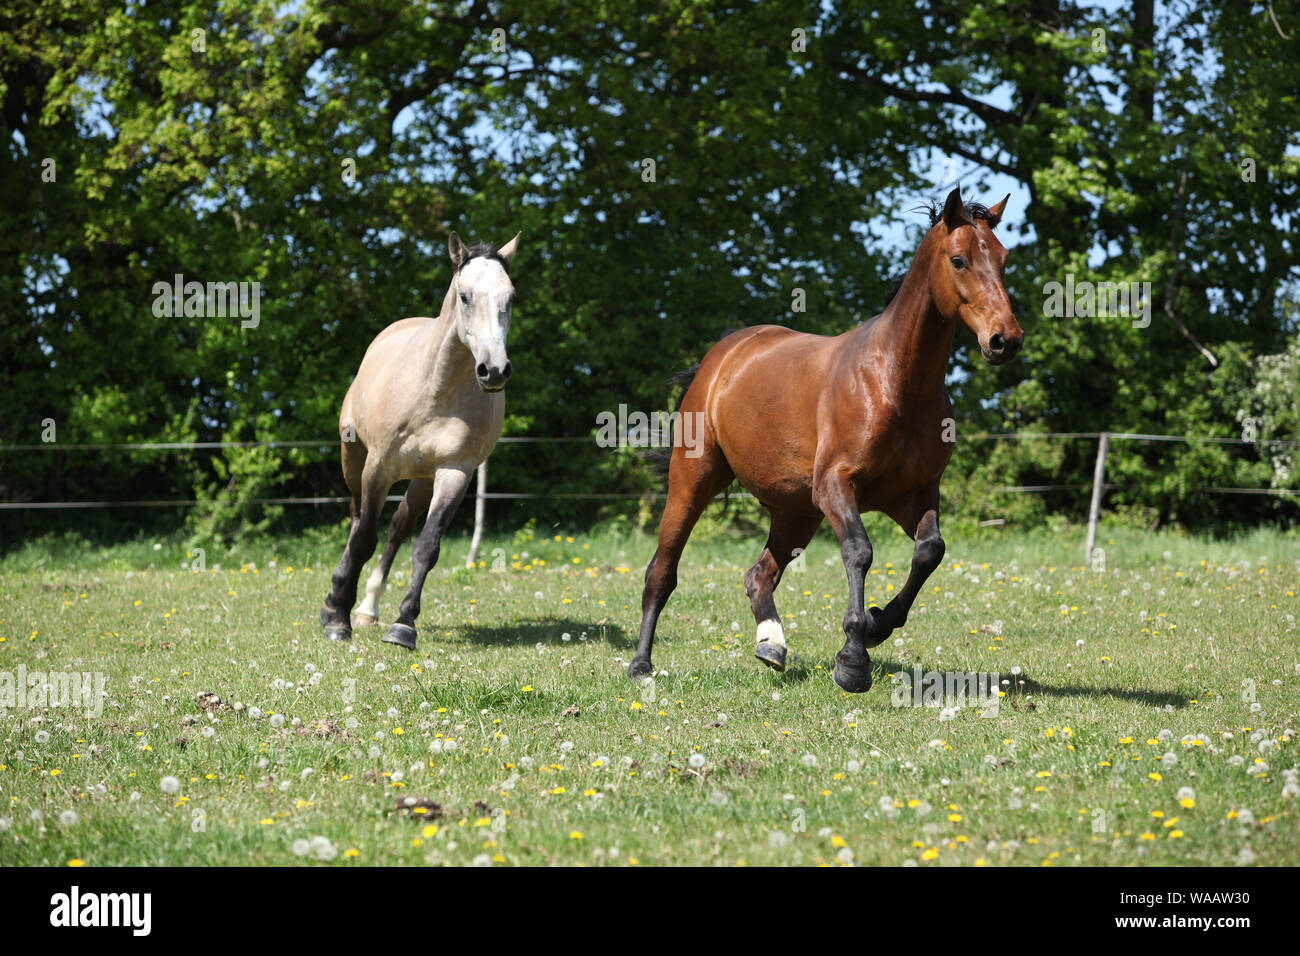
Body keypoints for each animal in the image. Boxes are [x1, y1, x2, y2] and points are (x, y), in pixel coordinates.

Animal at [319, 231, 520, 651]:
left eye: (510, 297)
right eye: (464, 295)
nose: (494, 370)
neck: (435, 391)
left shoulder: (455, 473)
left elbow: (427, 546)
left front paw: (403, 625)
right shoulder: (377, 468)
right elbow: (364, 539)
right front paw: (337, 619)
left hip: (422, 480)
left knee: (397, 529)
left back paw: (368, 609)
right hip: (353, 458)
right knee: (358, 520)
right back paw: (336, 602)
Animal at [629, 186, 1022, 693]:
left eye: (1004, 259)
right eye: (959, 260)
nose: (1005, 340)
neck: (894, 381)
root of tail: (722, 356)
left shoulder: (913, 494)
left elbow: (930, 551)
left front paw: (877, 623)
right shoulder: (837, 485)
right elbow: (859, 551)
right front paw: (853, 659)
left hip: (796, 511)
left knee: (759, 575)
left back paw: (772, 643)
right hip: (692, 482)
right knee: (662, 572)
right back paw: (641, 665)